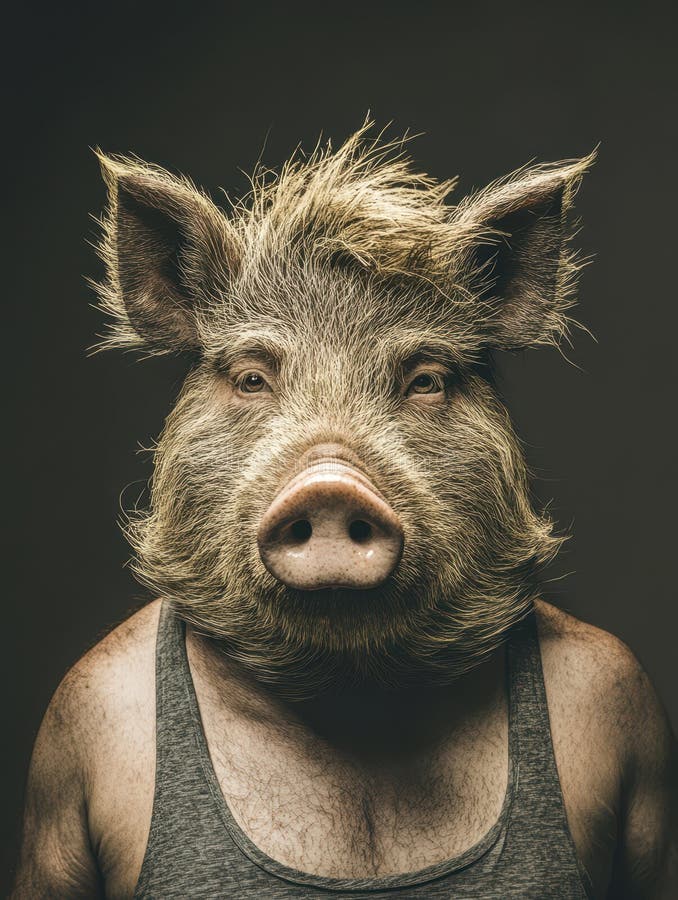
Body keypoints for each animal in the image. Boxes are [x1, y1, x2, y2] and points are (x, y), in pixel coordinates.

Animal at [12, 123, 677, 899]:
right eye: (252, 378)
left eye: (426, 380)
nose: (330, 485)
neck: (351, 689)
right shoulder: (77, 718)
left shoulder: (619, 686)